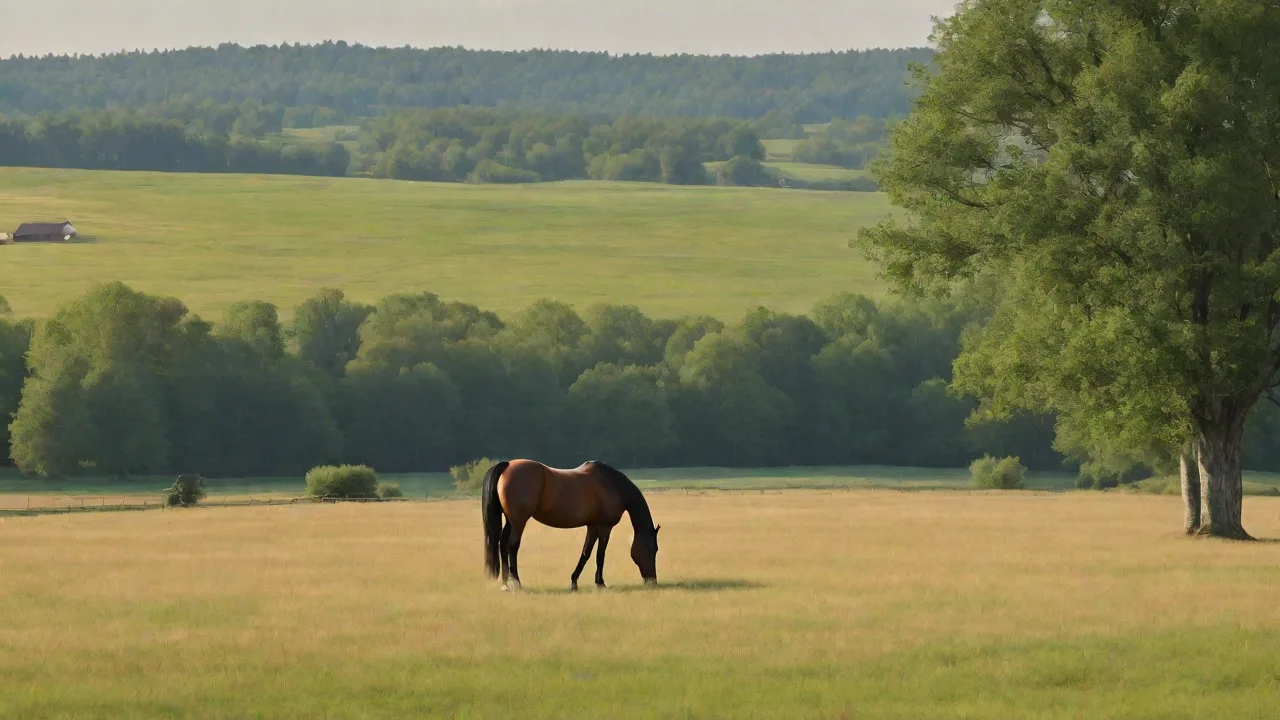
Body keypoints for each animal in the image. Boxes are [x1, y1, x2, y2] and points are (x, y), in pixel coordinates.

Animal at [481, 459, 661, 591]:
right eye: (653, 549)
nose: (652, 580)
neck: (612, 486)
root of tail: (508, 465)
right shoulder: (605, 527)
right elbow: (600, 555)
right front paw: (600, 583)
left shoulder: (593, 526)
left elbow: (586, 553)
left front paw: (574, 582)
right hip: (519, 521)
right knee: (512, 546)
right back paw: (516, 582)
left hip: (510, 521)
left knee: (502, 545)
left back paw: (505, 583)